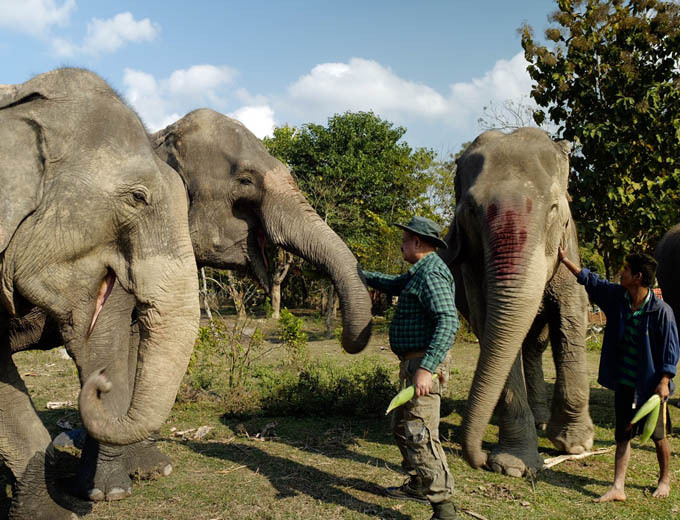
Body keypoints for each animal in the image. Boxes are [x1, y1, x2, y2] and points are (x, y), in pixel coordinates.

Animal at [10, 108, 374, 502]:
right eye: (245, 180)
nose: (351, 340)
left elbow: (137, 344)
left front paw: (154, 470)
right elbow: (103, 344)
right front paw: (109, 493)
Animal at [439, 127, 594, 476]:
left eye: (553, 209)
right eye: (470, 211)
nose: (478, 459)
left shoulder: (569, 248)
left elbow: (571, 312)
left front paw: (576, 444)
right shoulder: (471, 269)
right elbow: (488, 324)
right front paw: (513, 466)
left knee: (535, 343)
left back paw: (542, 422)